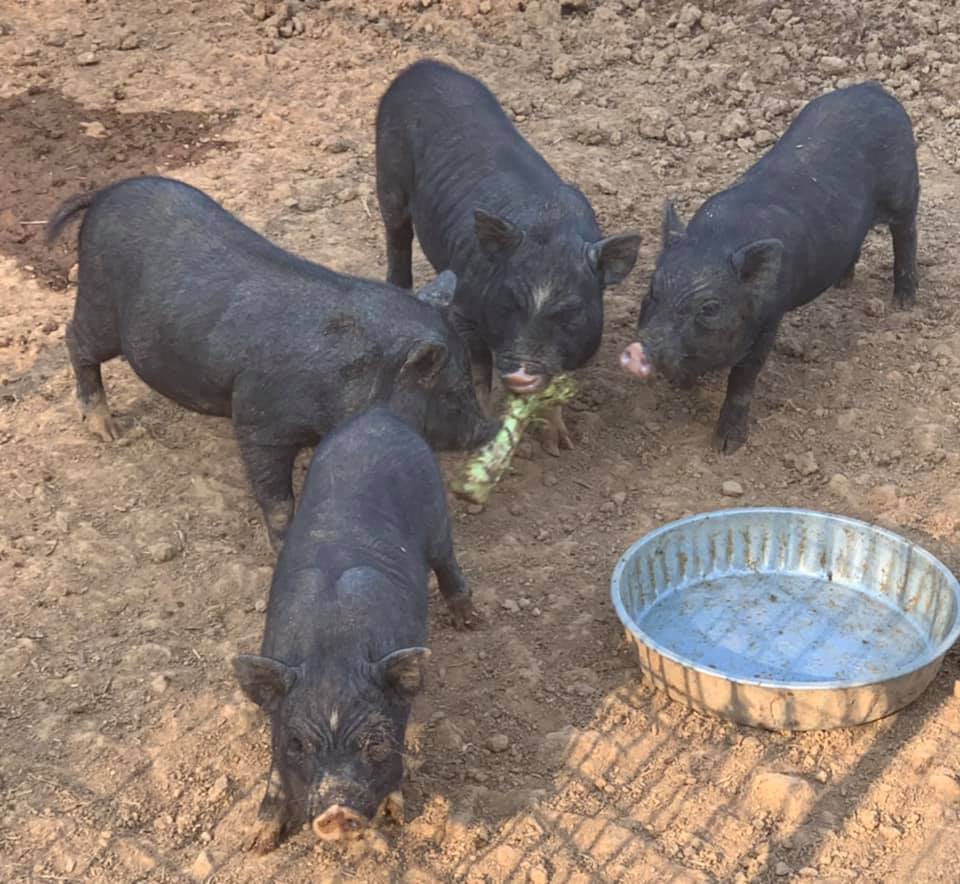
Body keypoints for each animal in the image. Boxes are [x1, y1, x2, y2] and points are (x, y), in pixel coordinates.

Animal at [46, 175, 498, 550]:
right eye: (451, 391)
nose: (487, 428)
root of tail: (105, 193)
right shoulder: (257, 421)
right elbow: (276, 497)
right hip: (100, 303)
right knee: (75, 340)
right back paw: (108, 432)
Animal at [233, 406, 474, 851]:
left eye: (374, 743)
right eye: (297, 744)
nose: (337, 809)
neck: (334, 645)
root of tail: (380, 414)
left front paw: (397, 816)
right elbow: (275, 772)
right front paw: (257, 843)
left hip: (437, 514)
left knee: (447, 560)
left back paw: (470, 619)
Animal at [375, 59, 641, 455]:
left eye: (570, 310)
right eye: (510, 300)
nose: (520, 374)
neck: (550, 226)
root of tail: (421, 66)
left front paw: (560, 446)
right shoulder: (464, 312)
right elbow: (480, 375)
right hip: (388, 175)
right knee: (397, 234)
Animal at [621, 81, 919, 452]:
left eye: (710, 307)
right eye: (652, 289)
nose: (639, 349)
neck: (717, 241)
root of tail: (874, 89)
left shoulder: (770, 319)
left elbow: (744, 377)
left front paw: (726, 446)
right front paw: (682, 386)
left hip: (905, 190)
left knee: (906, 234)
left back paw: (903, 303)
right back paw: (843, 284)